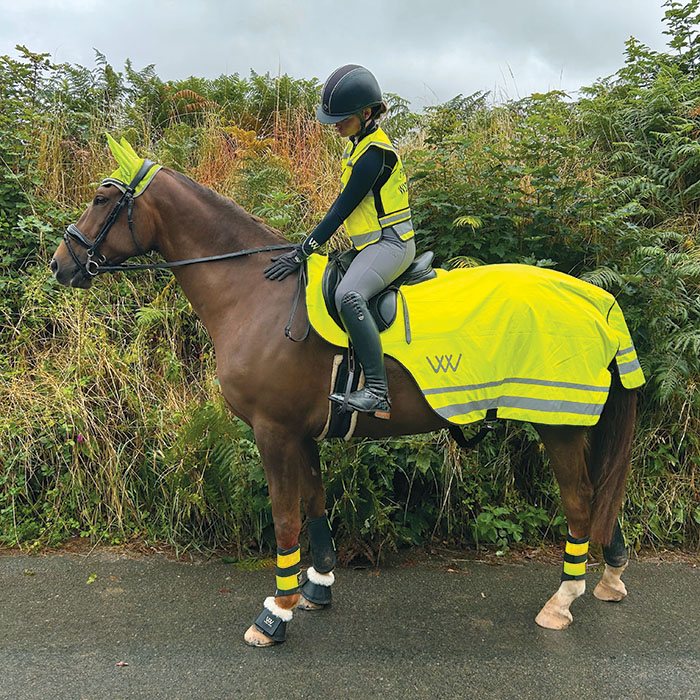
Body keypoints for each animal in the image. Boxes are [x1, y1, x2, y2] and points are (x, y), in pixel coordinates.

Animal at [50, 142, 639, 647]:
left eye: (102, 199)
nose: (62, 263)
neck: (254, 293)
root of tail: (594, 299)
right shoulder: (301, 433)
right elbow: (314, 503)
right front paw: (317, 586)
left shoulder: (273, 431)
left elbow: (286, 517)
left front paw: (276, 613)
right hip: (575, 424)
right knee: (602, 494)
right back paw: (609, 574)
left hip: (558, 425)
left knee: (581, 500)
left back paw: (562, 600)